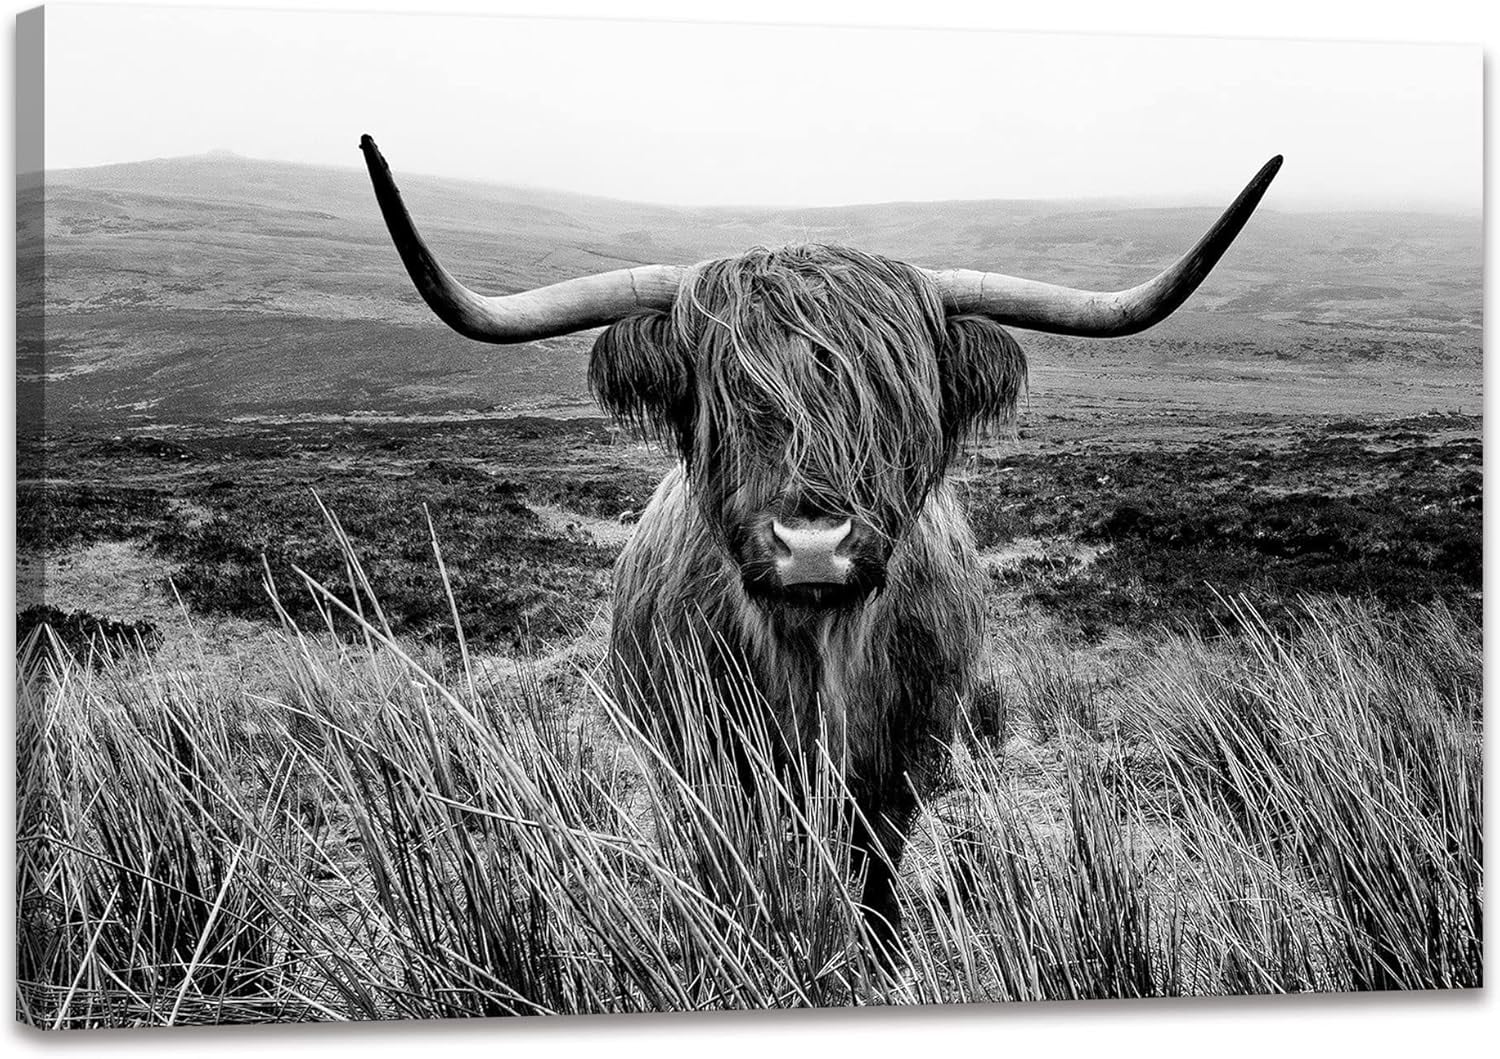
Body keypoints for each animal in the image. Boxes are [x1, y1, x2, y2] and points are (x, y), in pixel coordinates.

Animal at [358, 134, 1281, 951]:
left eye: (897, 401)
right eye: (726, 399)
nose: (812, 543)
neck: (813, 654)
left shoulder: (902, 759)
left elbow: (875, 867)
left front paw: (879, 950)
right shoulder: (709, 761)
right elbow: (738, 866)